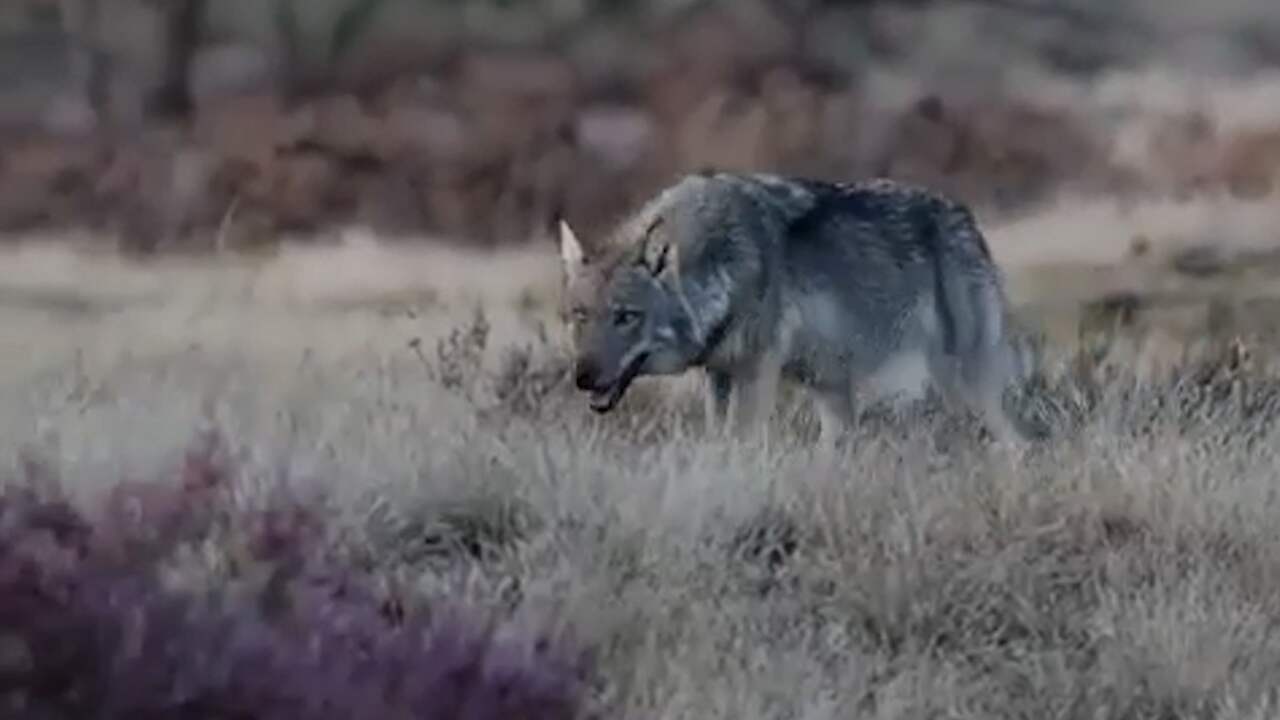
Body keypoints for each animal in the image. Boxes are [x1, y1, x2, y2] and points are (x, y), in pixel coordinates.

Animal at [556, 170, 1040, 446]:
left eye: (626, 316)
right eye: (579, 317)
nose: (583, 379)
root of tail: (967, 220)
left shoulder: (756, 370)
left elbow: (744, 439)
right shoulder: (719, 373)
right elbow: (718, 439)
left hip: (969, 390)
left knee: (1018, 444)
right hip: (836, 396)